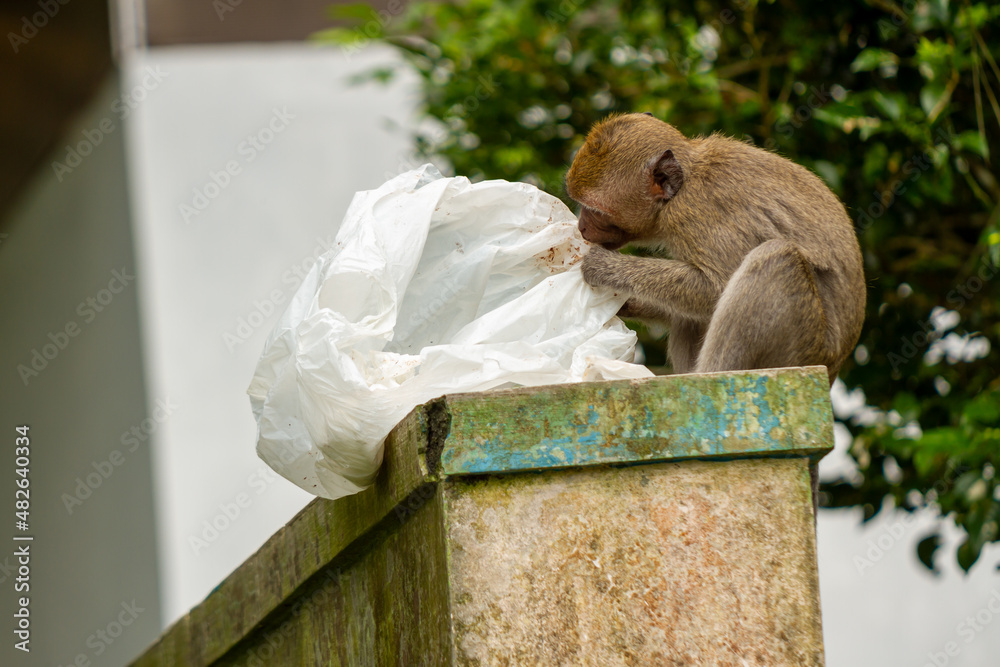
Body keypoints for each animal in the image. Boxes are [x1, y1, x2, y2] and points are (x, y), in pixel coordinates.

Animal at [565, 113, 866, 386]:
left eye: (595, 210)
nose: (581, 227)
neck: (683, 186)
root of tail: (832, 367)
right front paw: (625, 303)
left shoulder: (696, 214)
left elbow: (714, 287)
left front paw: (603, 267)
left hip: (802, 349)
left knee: (777, 258)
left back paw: (707, 376)